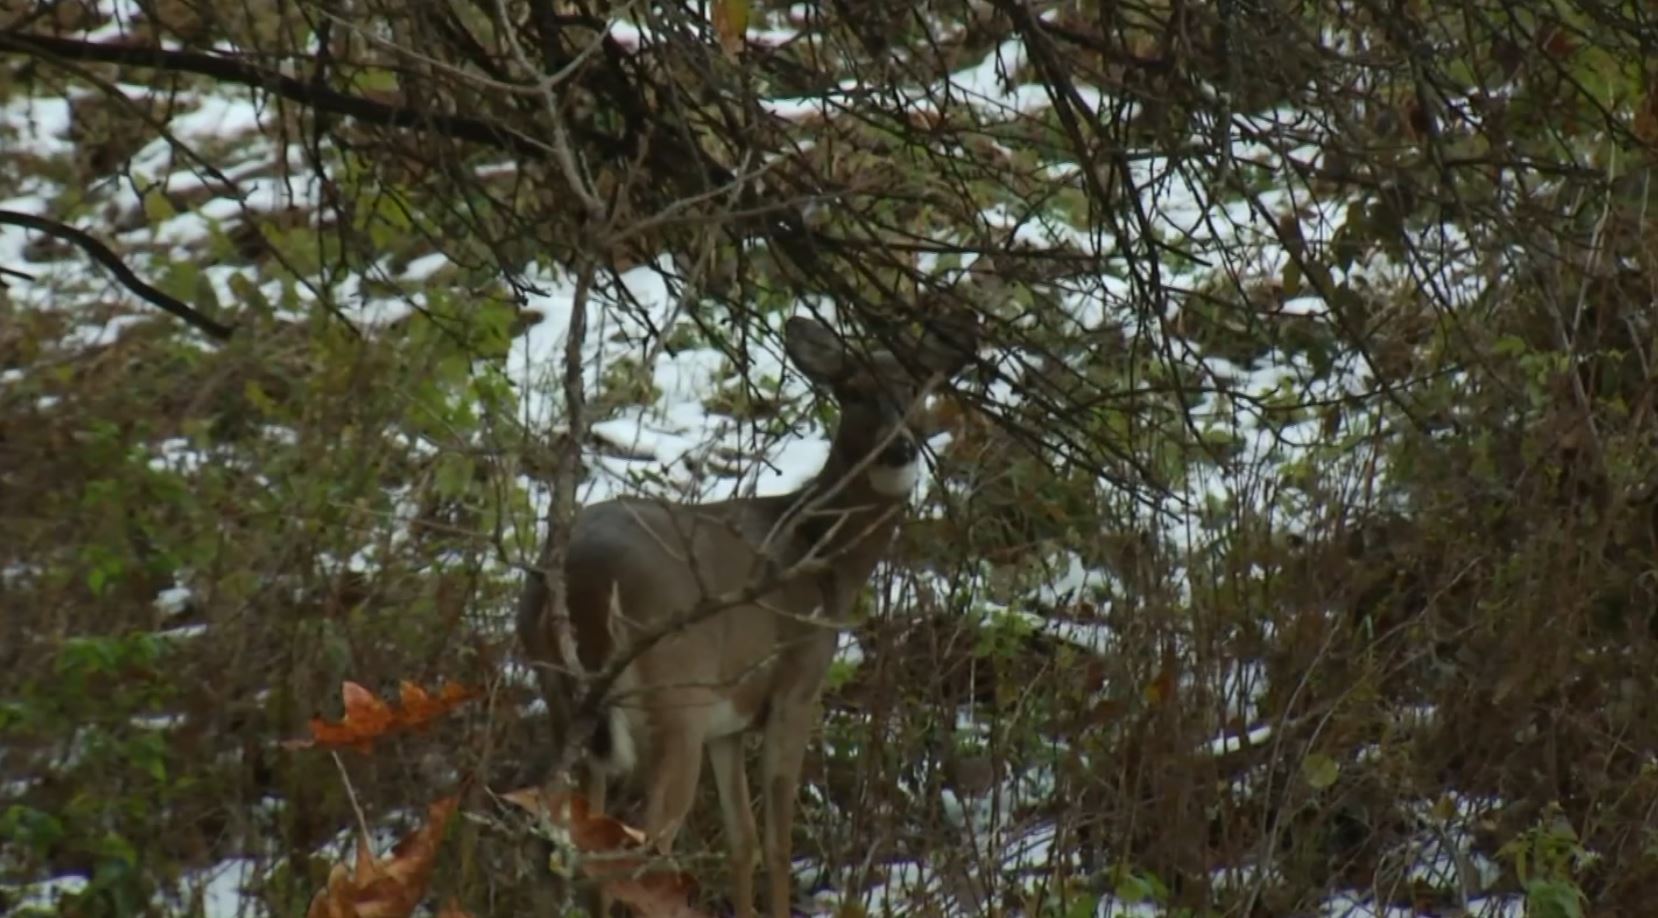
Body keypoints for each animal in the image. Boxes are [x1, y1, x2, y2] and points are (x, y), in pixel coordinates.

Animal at [517, 314, 977, 917]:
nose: (900, 449)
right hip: (674, 699)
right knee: (638, 853)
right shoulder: (795, 689)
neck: (822, 559)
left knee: (581, 849)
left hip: (565, 703)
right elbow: (777, 842)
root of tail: (579, 579)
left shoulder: (728, 721)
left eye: (920, 386)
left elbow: (744, 841)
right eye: (853, 389)